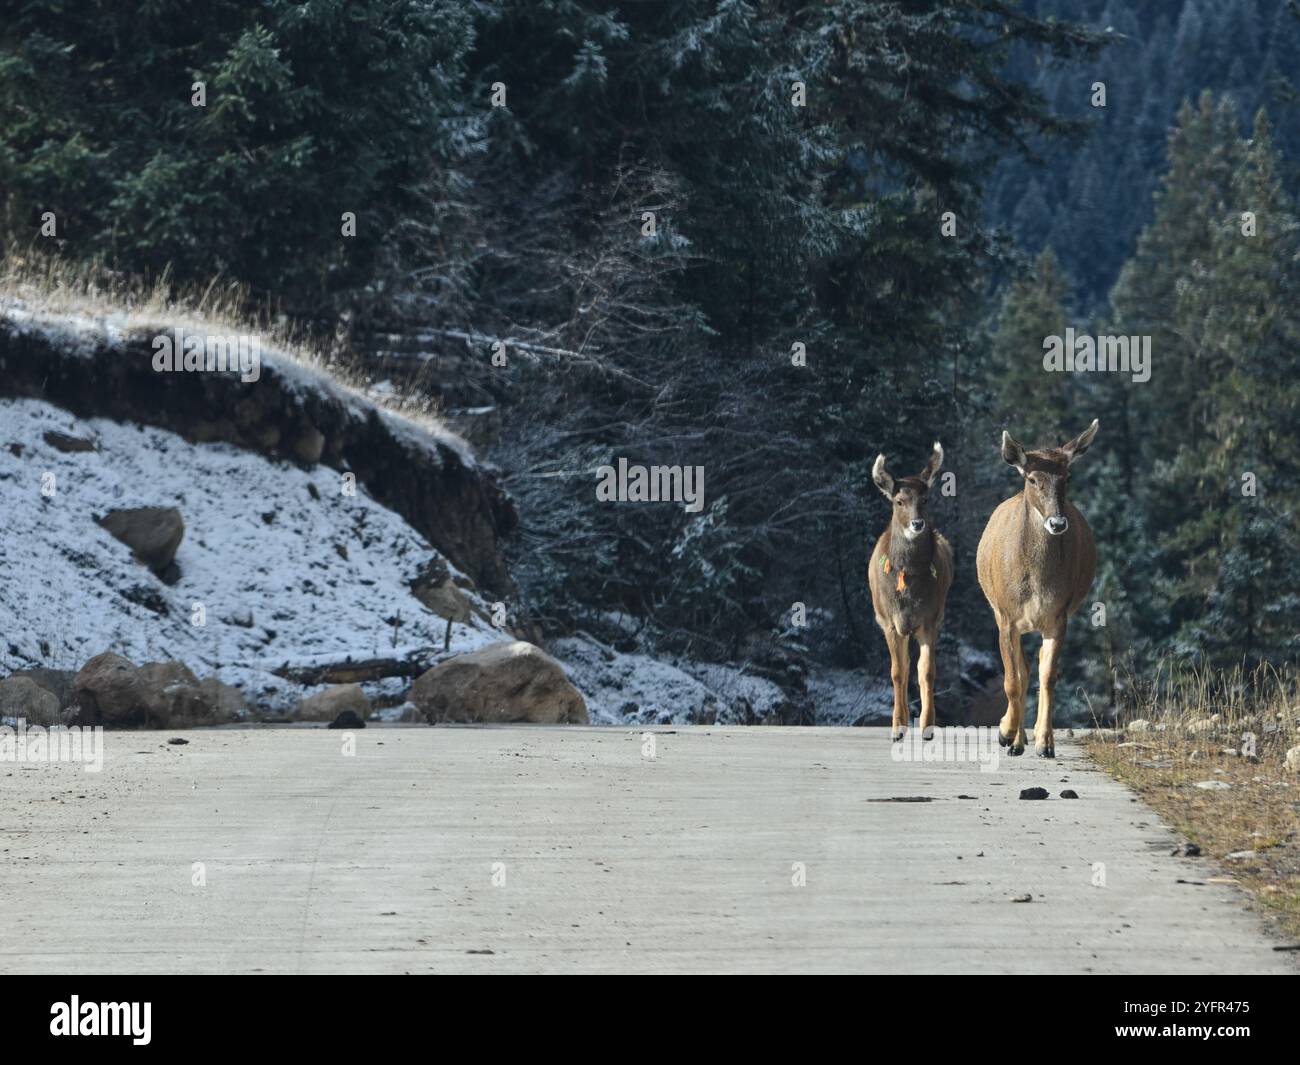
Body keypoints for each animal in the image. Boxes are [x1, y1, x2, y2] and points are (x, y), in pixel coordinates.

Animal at [868, 442, 954, 741]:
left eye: (925, 499)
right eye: (899, 501)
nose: (917, 524)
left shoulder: (931, 620)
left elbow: (926, 671)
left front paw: (927, 727)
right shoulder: (889, 622)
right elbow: (897, 672)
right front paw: (896, 728)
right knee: (903, 668)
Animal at [975, 420, 1098, 758]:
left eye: (1068, 476)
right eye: (1032, 478)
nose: (1057, 523)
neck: (1036, 583)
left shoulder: (1059, 615)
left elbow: (1049, 675)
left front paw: (1044, 743)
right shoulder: (1006, 615)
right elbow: (1011, 680)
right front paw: (1005, 732)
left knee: (1036, 663)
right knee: (1022, 668)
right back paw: (1015, 741)